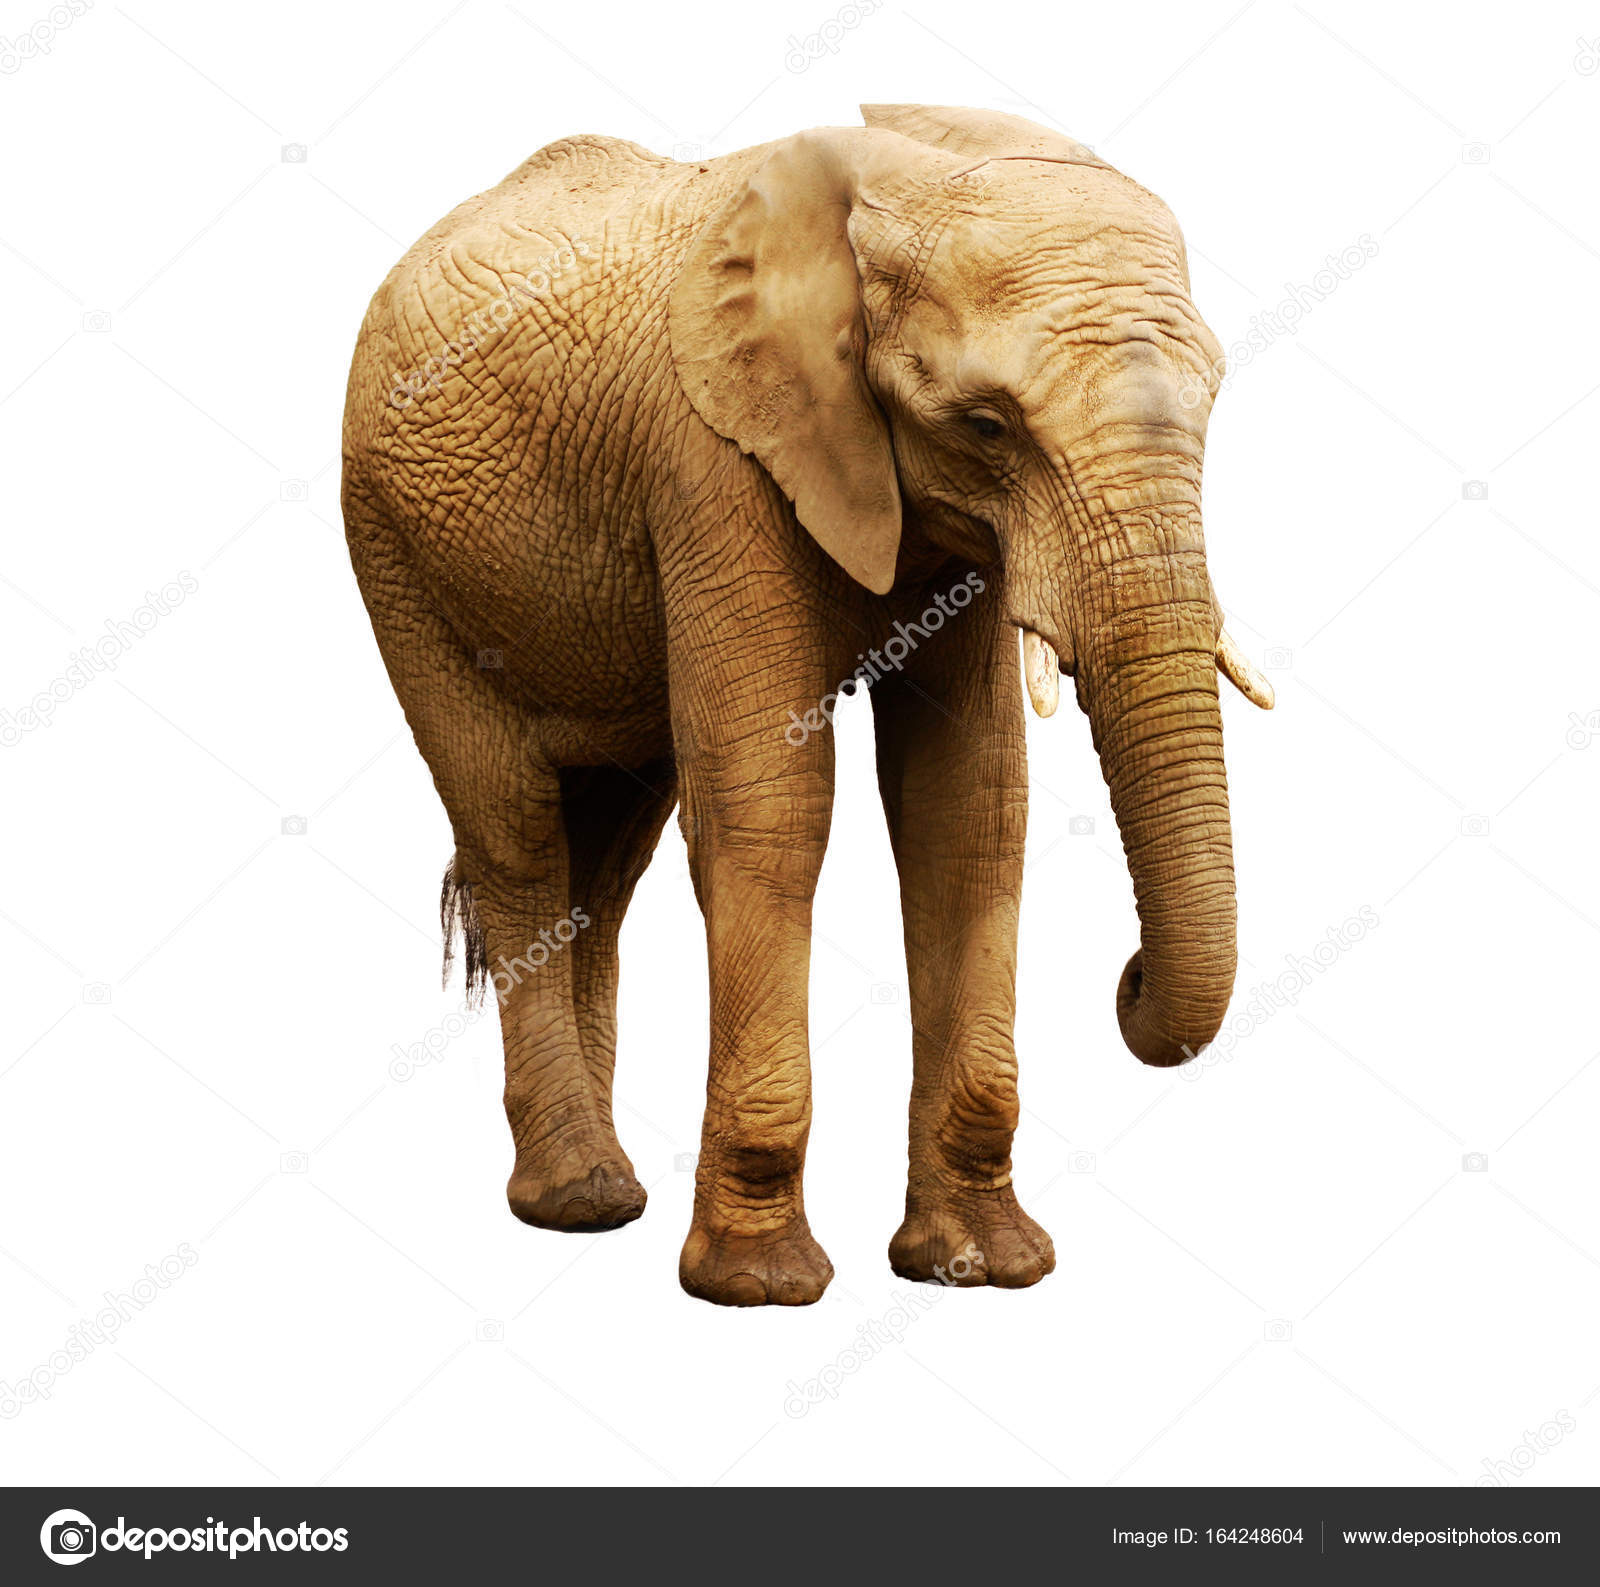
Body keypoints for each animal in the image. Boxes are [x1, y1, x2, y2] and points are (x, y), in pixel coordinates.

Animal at [341, 103, 1272, 1307]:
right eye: (985, 426)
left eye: (1215, 401)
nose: (1127, 979)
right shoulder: (710, 460)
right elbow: (772, 801)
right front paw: (760, 1284)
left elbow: (966, 807)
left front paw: (978, 1268)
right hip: (396, 554)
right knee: (514, 832)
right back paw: (577, 1201)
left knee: (608, 849)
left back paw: (610, 1194)